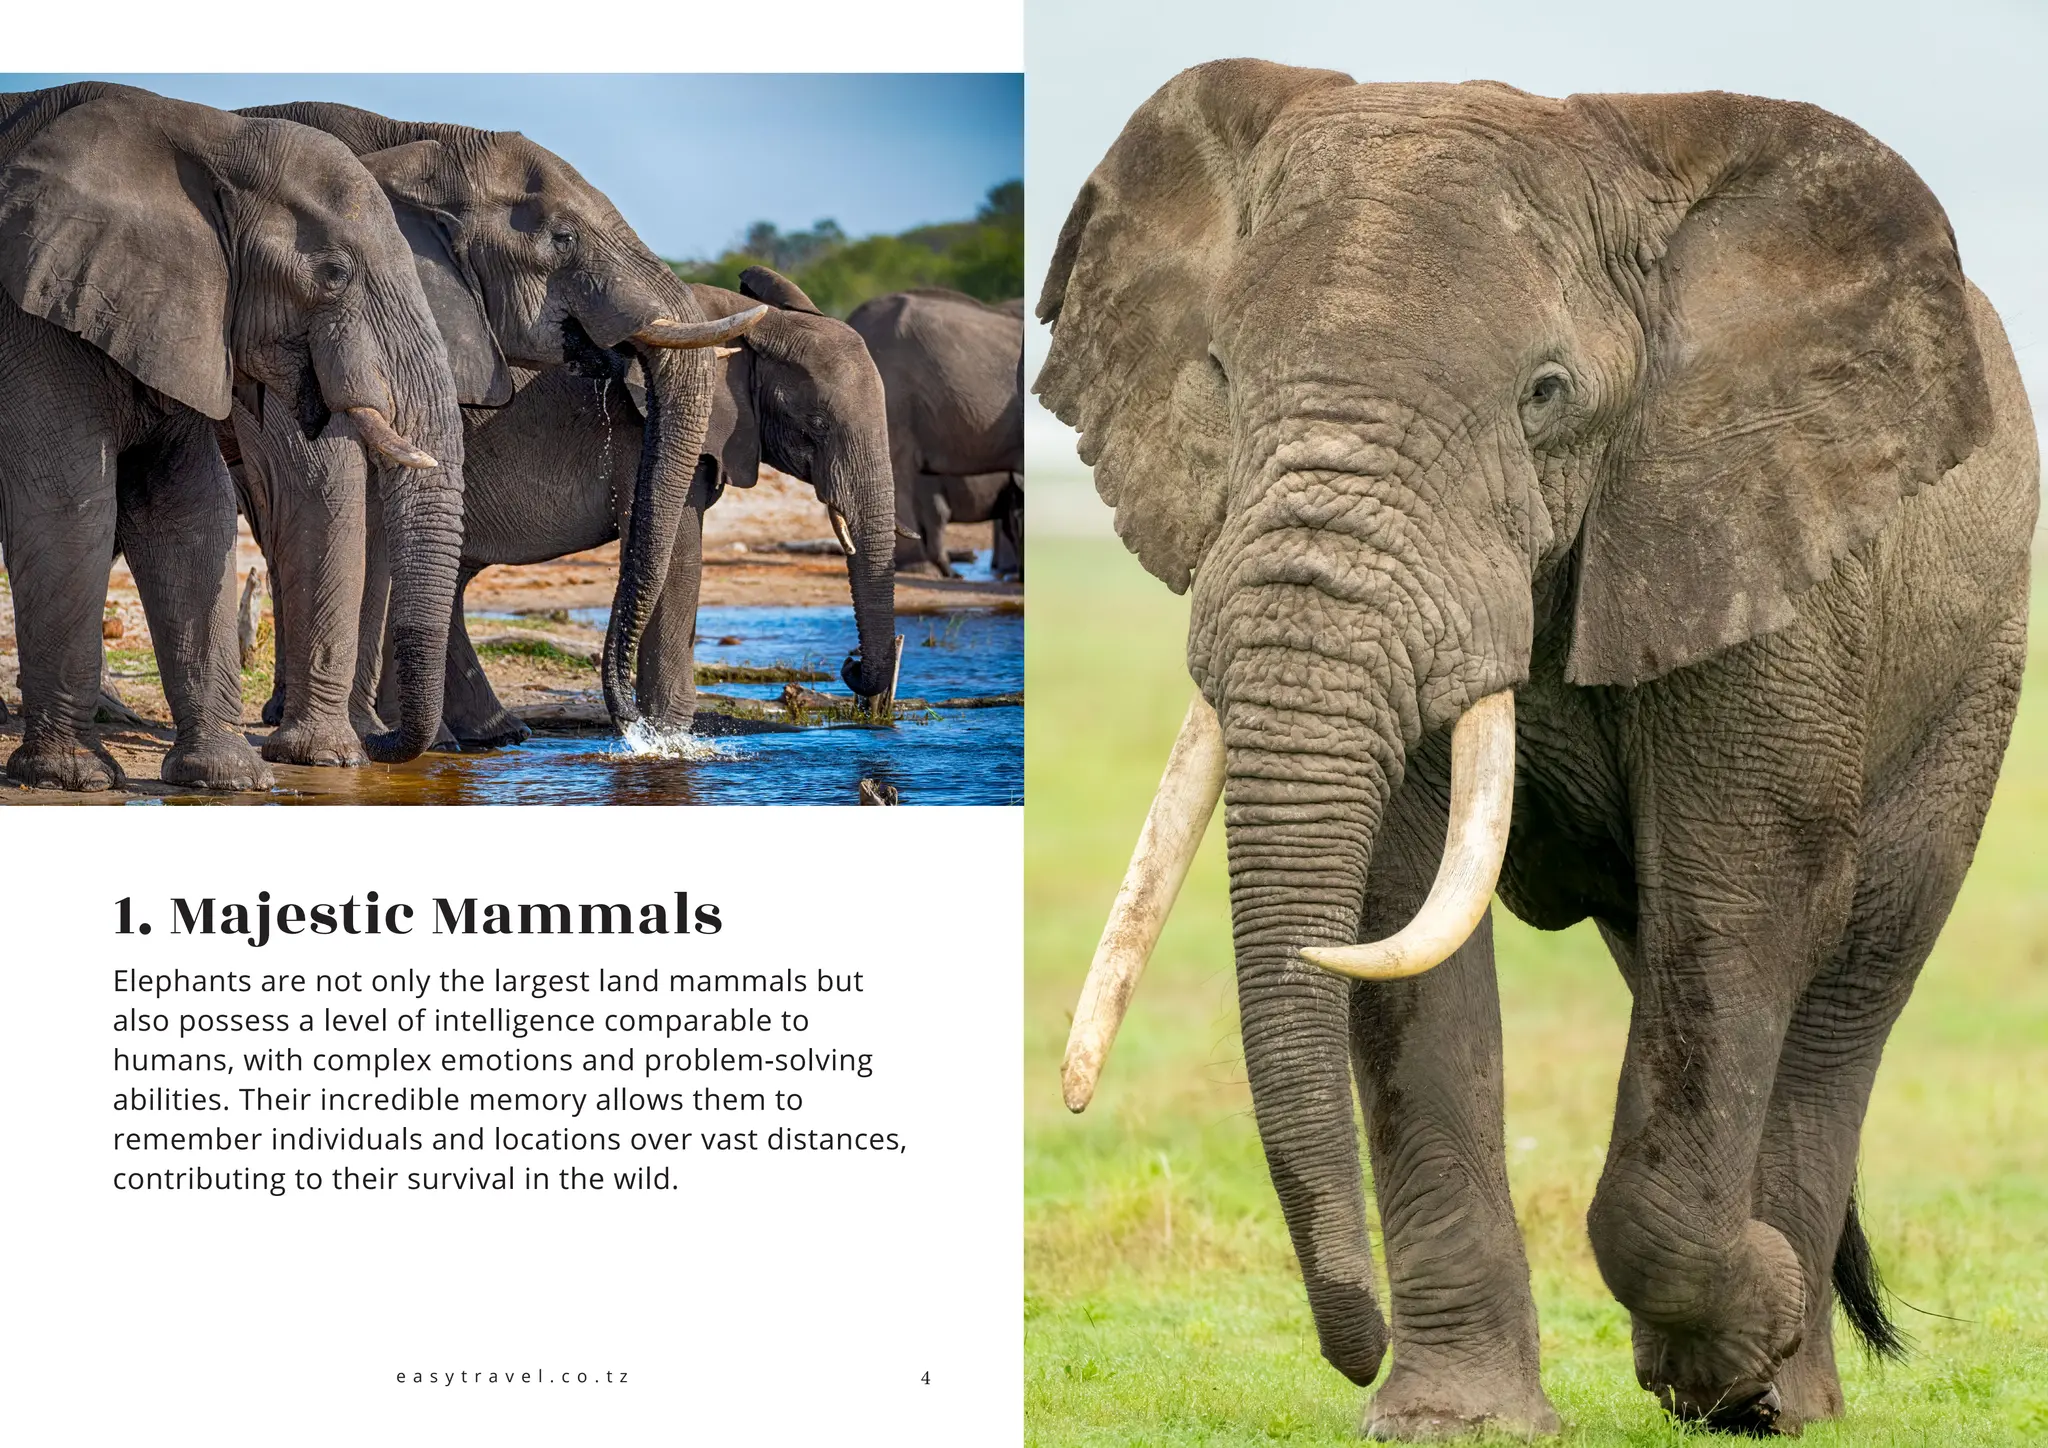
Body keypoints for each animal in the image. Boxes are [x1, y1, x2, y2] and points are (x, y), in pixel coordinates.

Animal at [0, 83, 472, 791]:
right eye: (334, 273)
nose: (384, 745)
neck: (210, 135)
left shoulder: (177, 323)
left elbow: (187, 511)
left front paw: (228, 777)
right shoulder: (31, 322)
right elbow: (67, 507)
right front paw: (73, 777)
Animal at [227, 101, 765, 762]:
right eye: (562, 238)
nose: (631, 728)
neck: (418, 142)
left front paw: (369, 738)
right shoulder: (296, 316)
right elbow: (326, 481)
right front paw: (351, 746)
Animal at [385, 264, 898, 748]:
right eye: (817, 423)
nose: (850, 665)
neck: (761, 324)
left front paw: (657, 736)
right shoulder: (641, 432)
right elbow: (680, 555)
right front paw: (666, 740)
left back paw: (495, 736)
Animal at [1039, 62, 2037, 1438]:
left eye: (1545, 393)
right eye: (1222, 376)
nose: (1350, 1342)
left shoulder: (1760, 540)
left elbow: (1738, 897)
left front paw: (1736, 1342)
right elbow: (1401, 917)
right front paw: (1452, 1419)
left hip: (1969, 674)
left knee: (1849, 980)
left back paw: (1782, 1394)